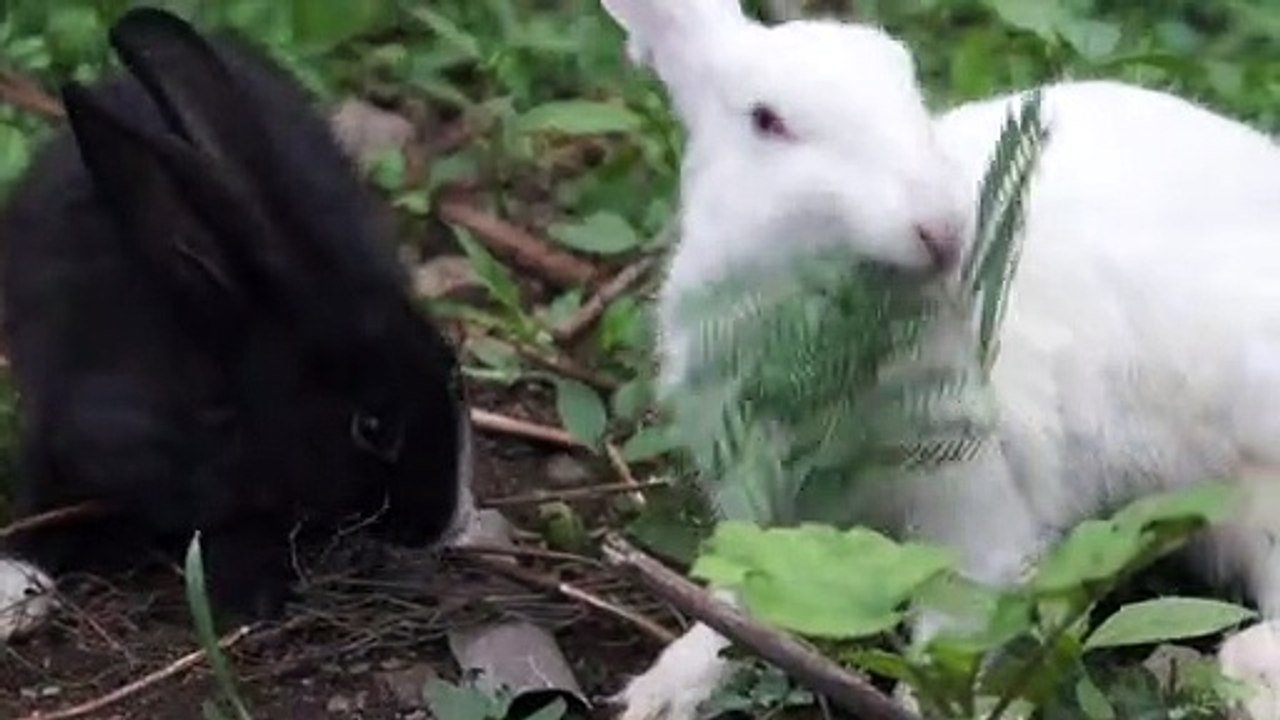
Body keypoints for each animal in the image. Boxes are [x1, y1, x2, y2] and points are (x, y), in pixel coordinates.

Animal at [596, 0, 1280, 718]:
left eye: (907, 83)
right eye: (766, 120)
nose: (943, 230)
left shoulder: (980, 508)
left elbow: (955, 631)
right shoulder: (771, 503)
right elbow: (734, 598)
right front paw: (661, 690)